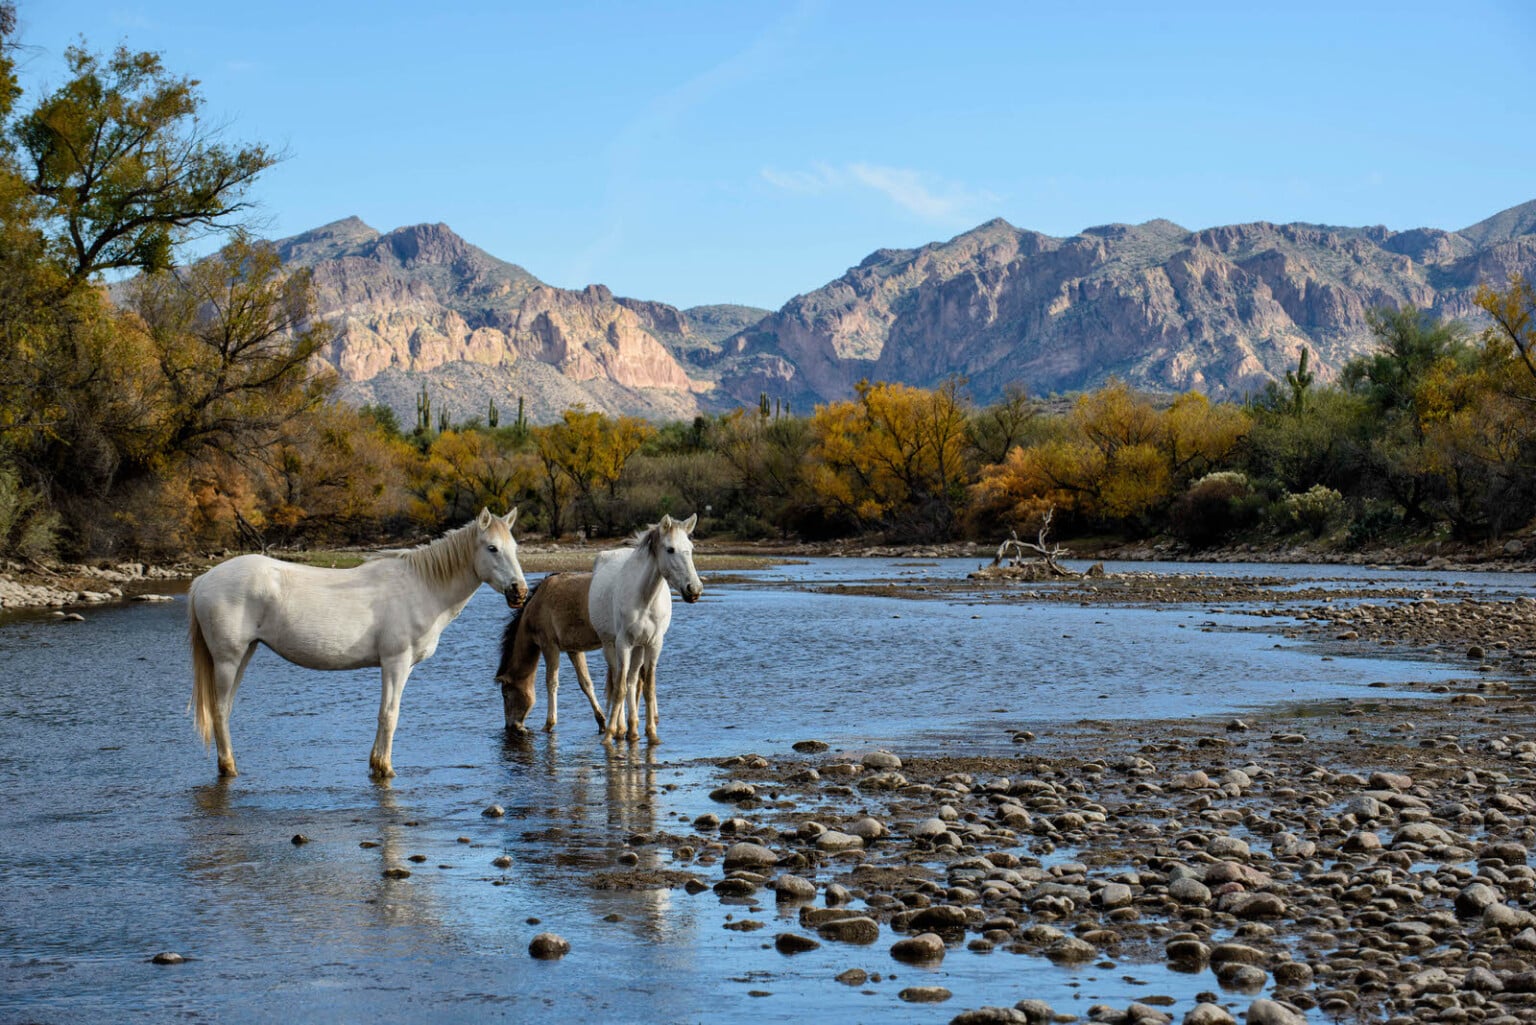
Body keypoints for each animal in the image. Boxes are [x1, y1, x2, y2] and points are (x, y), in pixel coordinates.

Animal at [187, 508, 529, 779]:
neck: (422, 587)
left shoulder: (400, 666)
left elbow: (385, 713)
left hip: (245, 654)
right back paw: (229, 768)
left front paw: (376, 764)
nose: (519, 591)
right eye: (492, 548)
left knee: (225, 709)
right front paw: (385, 768)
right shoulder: (395, 662)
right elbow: (390, 714)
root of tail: (203, 581)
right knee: (219, 710)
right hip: (228, 659)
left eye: (514, 547)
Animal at [495, 571, 608, 734]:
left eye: (505, 694)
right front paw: (601, 721)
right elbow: (585, 683)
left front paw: (548, 724)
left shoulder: (549, 645)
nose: (511, 727)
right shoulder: (573, 649)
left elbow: (551, 682)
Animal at [588, 513, 702, 744]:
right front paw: (610, 734)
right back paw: (620, 729)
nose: (694, 590)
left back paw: (632, 730)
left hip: (639, 648)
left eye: (691, 548)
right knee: (619, 680)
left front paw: (652, 733)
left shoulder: (654, 644)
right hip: (610, 645)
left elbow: (647, 688)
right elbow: (620, 689)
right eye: (670, 549)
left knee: (633, 682)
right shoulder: (623, 643)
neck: (644, 598)